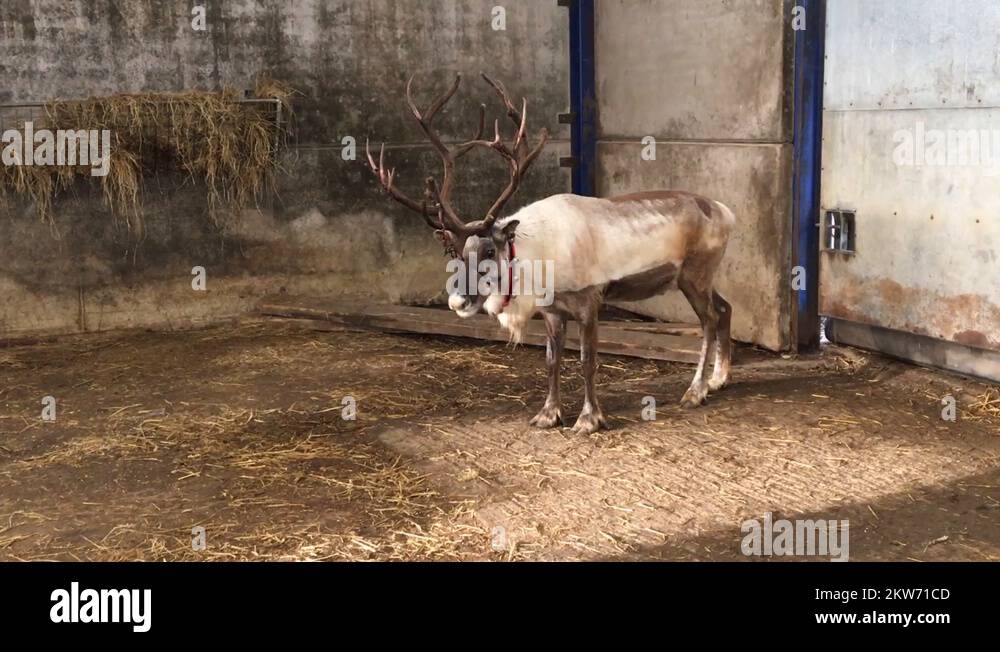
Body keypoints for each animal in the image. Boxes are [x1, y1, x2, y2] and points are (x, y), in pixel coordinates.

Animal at [366, 74, 735, 435]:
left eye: (489, 249)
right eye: (456, 251)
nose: (457, 301)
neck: (536, 257)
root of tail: (724, 211)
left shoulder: (589, 304)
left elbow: (587, 361)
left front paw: (588, 419)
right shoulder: (552, 312)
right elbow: (551, 361)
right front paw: (548, 414)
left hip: (694, 275)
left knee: (708, 320)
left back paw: (695, 391)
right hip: (702, 277)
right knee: (724, 308)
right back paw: (718, 379)